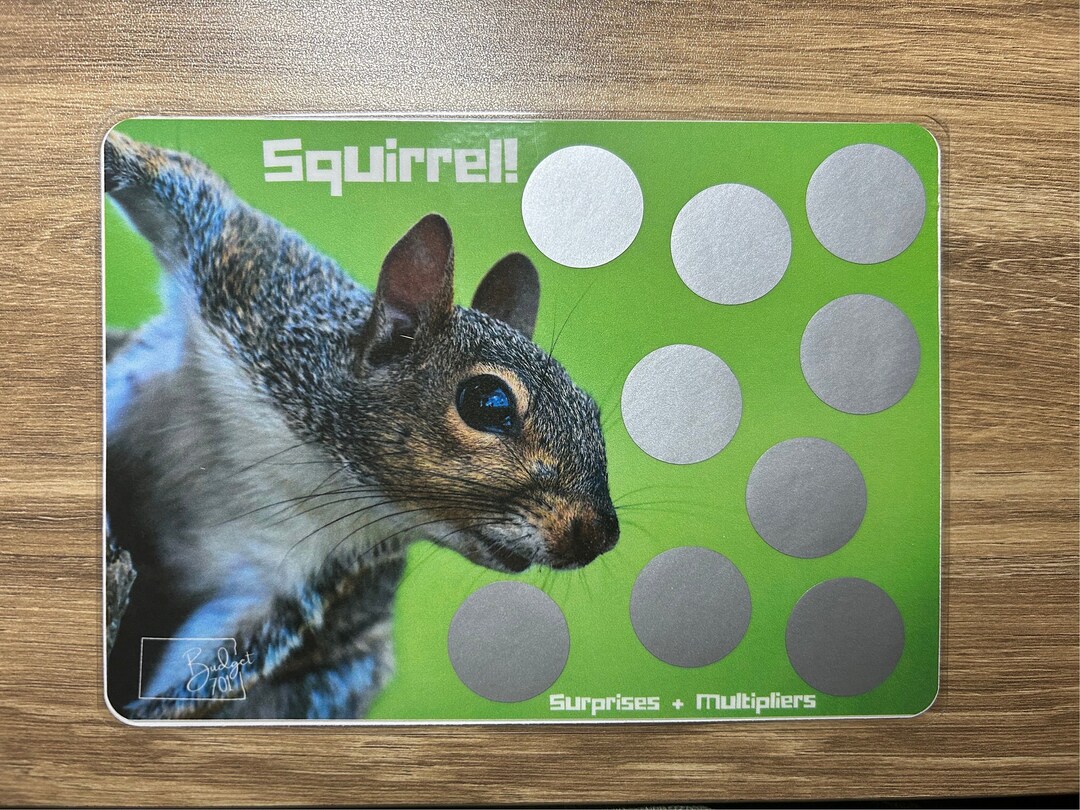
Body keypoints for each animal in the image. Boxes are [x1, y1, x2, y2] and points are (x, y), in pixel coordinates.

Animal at [103, 131, 619, 720]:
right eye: (489, 404)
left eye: (592, 411)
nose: (600, 534)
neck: (320, 463)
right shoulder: (251, 273)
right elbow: (172, 177)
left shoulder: (287, 587)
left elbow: (220, 668)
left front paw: (145, 711)